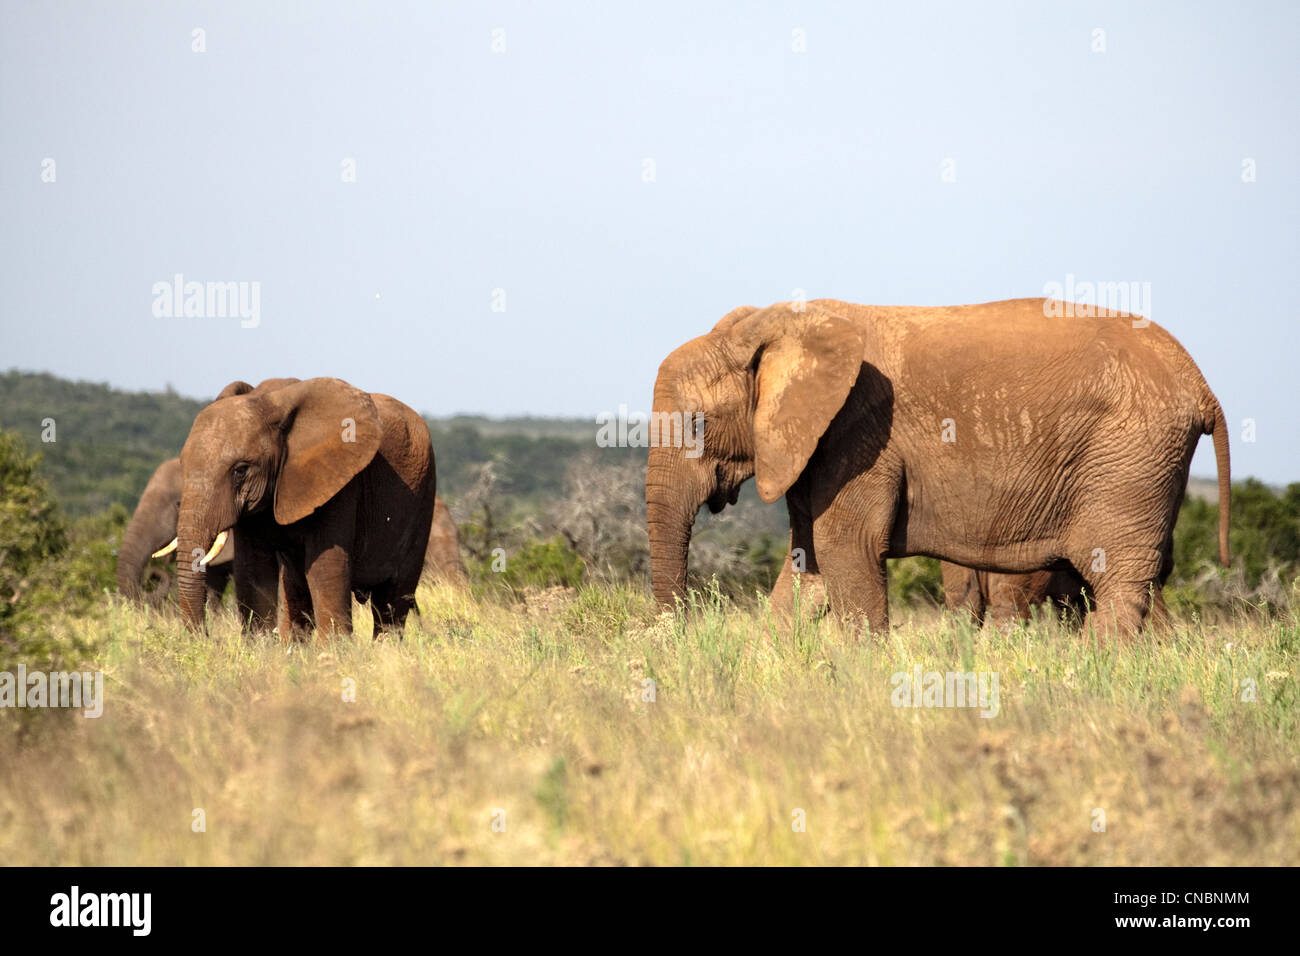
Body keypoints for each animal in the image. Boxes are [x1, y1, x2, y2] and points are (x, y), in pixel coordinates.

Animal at [173, 376, 437, 638]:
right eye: (182, 466)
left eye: (241, 470)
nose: (205, 637)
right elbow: (254, 571)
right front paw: (262, 646)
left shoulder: (338, 482)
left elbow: (324, 567)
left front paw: (334, 649)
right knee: (297, 589)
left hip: (423, 497)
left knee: (392, 602)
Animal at [646, 298, 1230, 639]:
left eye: (696, 424)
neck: (774, 326)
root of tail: (1204, 388)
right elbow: (806, 566)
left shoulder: (860, 435)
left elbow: (847, 550)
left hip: (1130, 458)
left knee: (1119, 580)